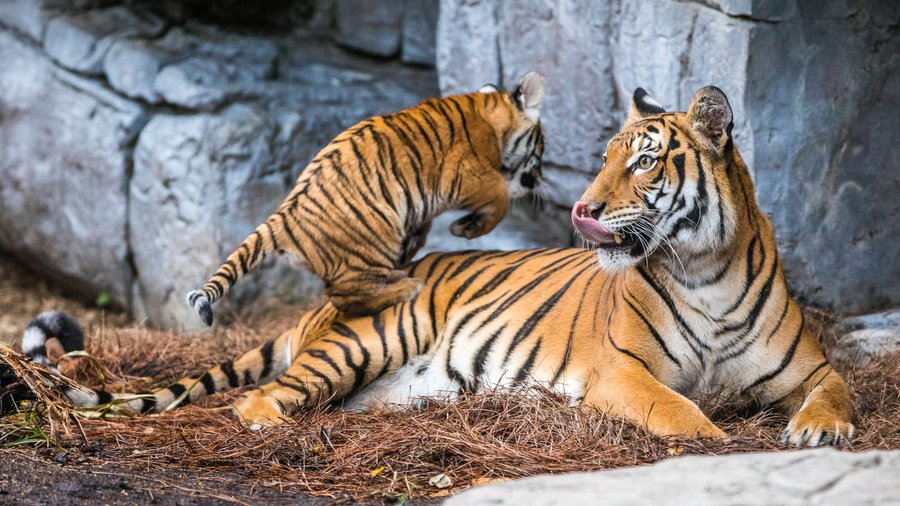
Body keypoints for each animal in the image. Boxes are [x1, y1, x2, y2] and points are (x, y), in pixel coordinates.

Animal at [185, 72, 546, 325]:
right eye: (541, 148)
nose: (540, 179)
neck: (490, 114)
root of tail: (282, 217)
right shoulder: (468, 175)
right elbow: (500, 197)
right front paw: (465, 229)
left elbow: (423, 229)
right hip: (373, 237)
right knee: (344, 298)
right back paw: (405, 286)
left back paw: (397, 276)